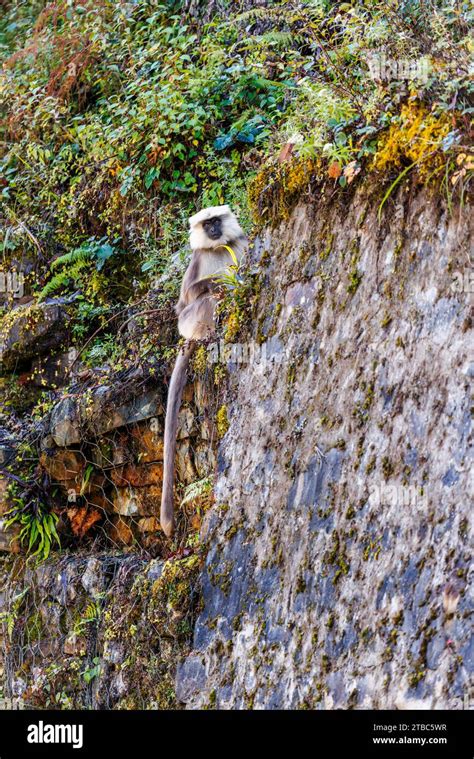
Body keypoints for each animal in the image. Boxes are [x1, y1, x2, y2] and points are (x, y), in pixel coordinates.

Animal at [160, 205, 247, 537]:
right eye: (206, 223)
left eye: (216, 221)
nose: (212, 231)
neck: (217, 247)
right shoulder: (197, 261)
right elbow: (184, 300)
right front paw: (219, 283)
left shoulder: (241, 244)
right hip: (189, 323)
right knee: (206, 300)